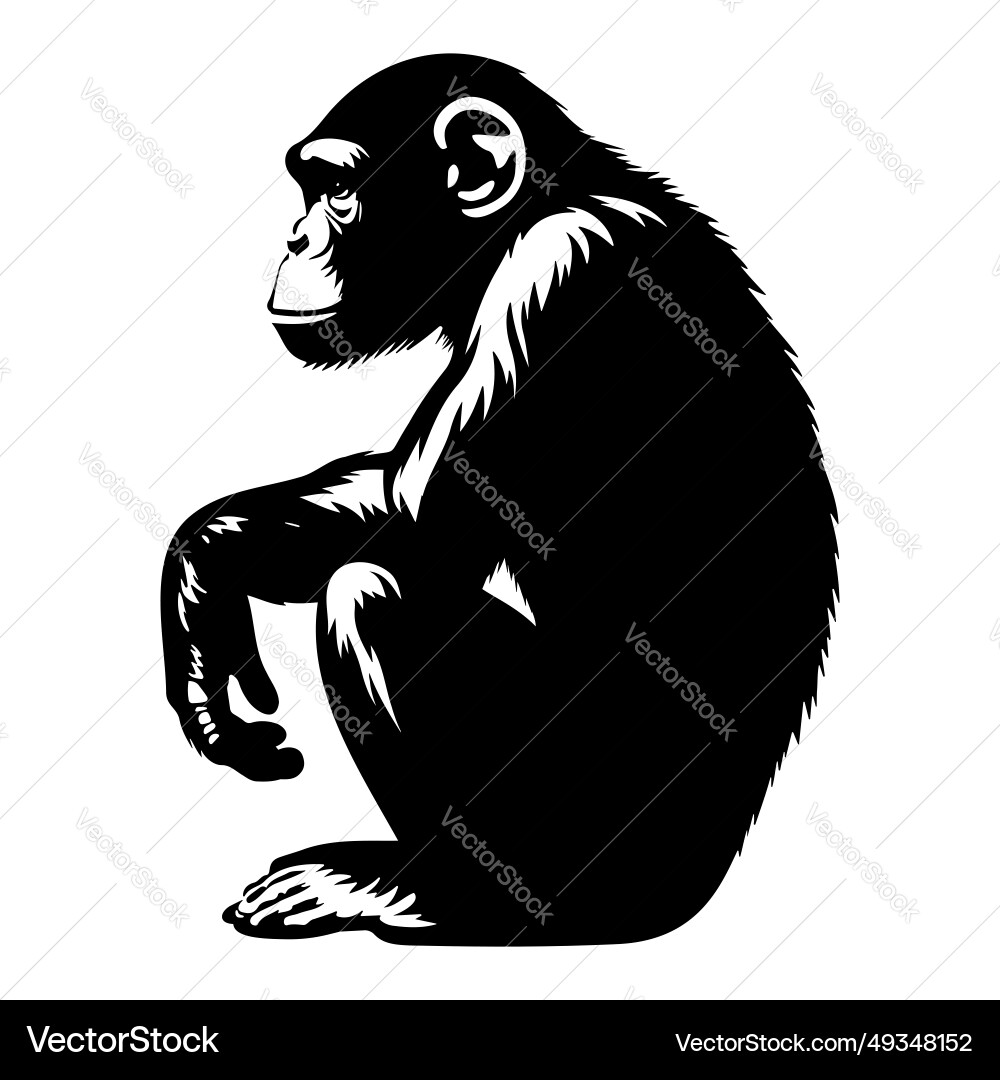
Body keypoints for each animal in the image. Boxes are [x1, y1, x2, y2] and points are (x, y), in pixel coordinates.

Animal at [160, 54, 838, 945]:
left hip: (597, 814)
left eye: (335, 189)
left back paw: (431, 891)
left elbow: (424, 525)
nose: (294, 239)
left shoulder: (549, 273)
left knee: (367, 596)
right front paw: (208, 567)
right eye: (303, 189)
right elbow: (387, 492)